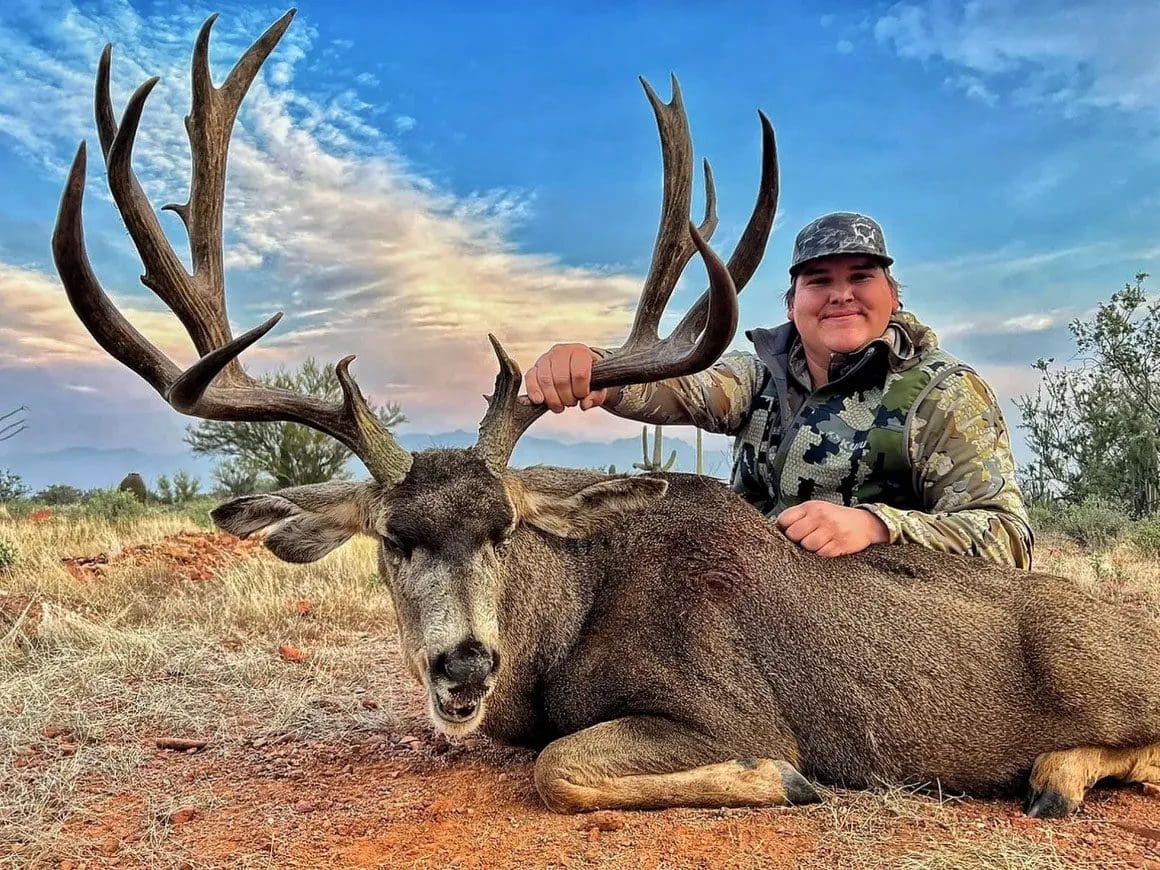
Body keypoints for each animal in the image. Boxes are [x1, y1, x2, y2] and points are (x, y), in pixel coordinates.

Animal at [53, 10, 1160, 819]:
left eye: (502, 530)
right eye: (391, 540)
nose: (465, 662)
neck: (560, 631)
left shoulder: (723, 706)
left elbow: (563, 767)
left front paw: (785, 780)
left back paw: (1056, 773)